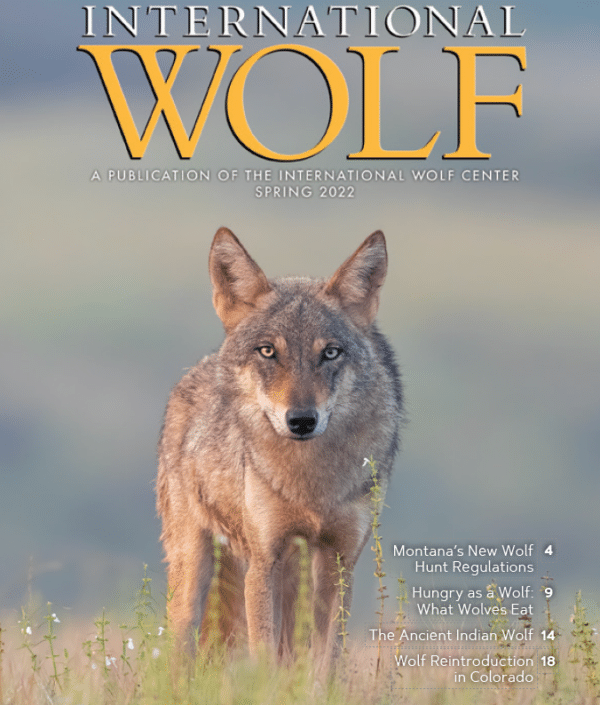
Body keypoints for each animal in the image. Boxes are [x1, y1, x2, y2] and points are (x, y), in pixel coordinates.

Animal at [156, 227, 402, 672]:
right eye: (268, 351)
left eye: (330, 352)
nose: (301, 420)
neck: (311, 485)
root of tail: (193, 373)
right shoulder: (263, 562)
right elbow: (265, 660)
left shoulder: (340, 562)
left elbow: (326, 664)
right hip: (194, 573)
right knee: (180, 655)